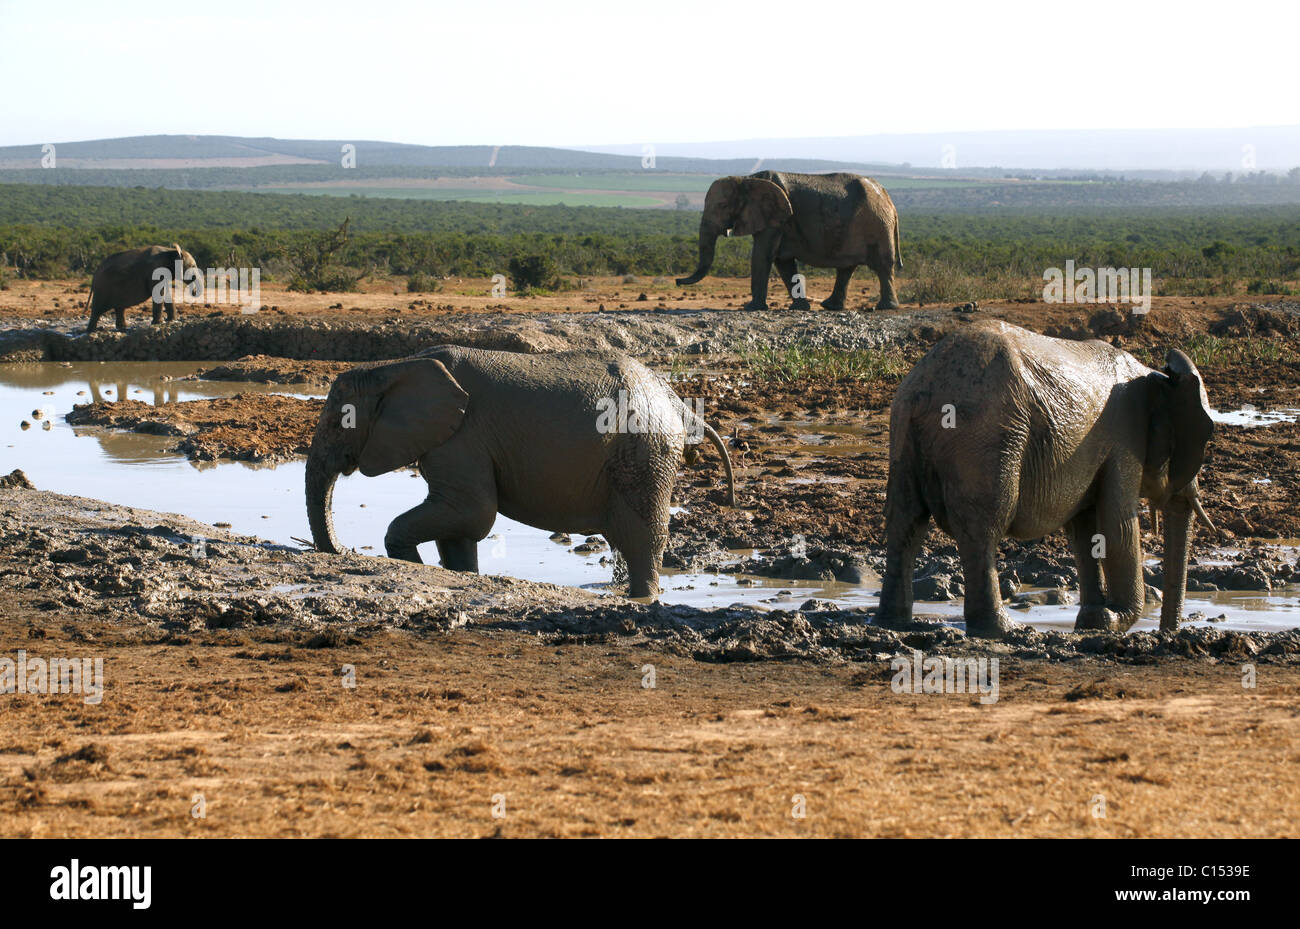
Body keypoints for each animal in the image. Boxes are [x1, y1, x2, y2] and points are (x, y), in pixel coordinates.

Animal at [305, 346, 736, 598]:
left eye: (339, 422)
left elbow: (472, 511)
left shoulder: (463, 435)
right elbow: (461, 526)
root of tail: (676, 401)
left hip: (646, 450)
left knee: (641, 535)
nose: (340, 551)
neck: (392, 367)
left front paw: (410, 563)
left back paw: (641, 597)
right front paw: (461, 575)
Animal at [675, 171, 902, 312]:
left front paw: (751, 308)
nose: (677, 281)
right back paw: (830, 306)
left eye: (722, 206)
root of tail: (889, 199)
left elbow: (762, 255)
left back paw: (885, 307)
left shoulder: (775, 218)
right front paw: (799, 308)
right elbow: (782, 262)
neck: (747, 179)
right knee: (847, 268)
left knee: (882, 265)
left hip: (878, 224)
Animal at [877, 322, 1215, 639]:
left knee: (906, 521)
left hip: (905, 432)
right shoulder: (1125, 439)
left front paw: (1093, 621)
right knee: (983, 526)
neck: (1154, 376)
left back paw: (895, 622)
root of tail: (925, 385)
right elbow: (1117, 523)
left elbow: (1085, 531)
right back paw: (1004, 629)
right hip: (988, 435)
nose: (1166, 632)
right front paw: (1110, 620)